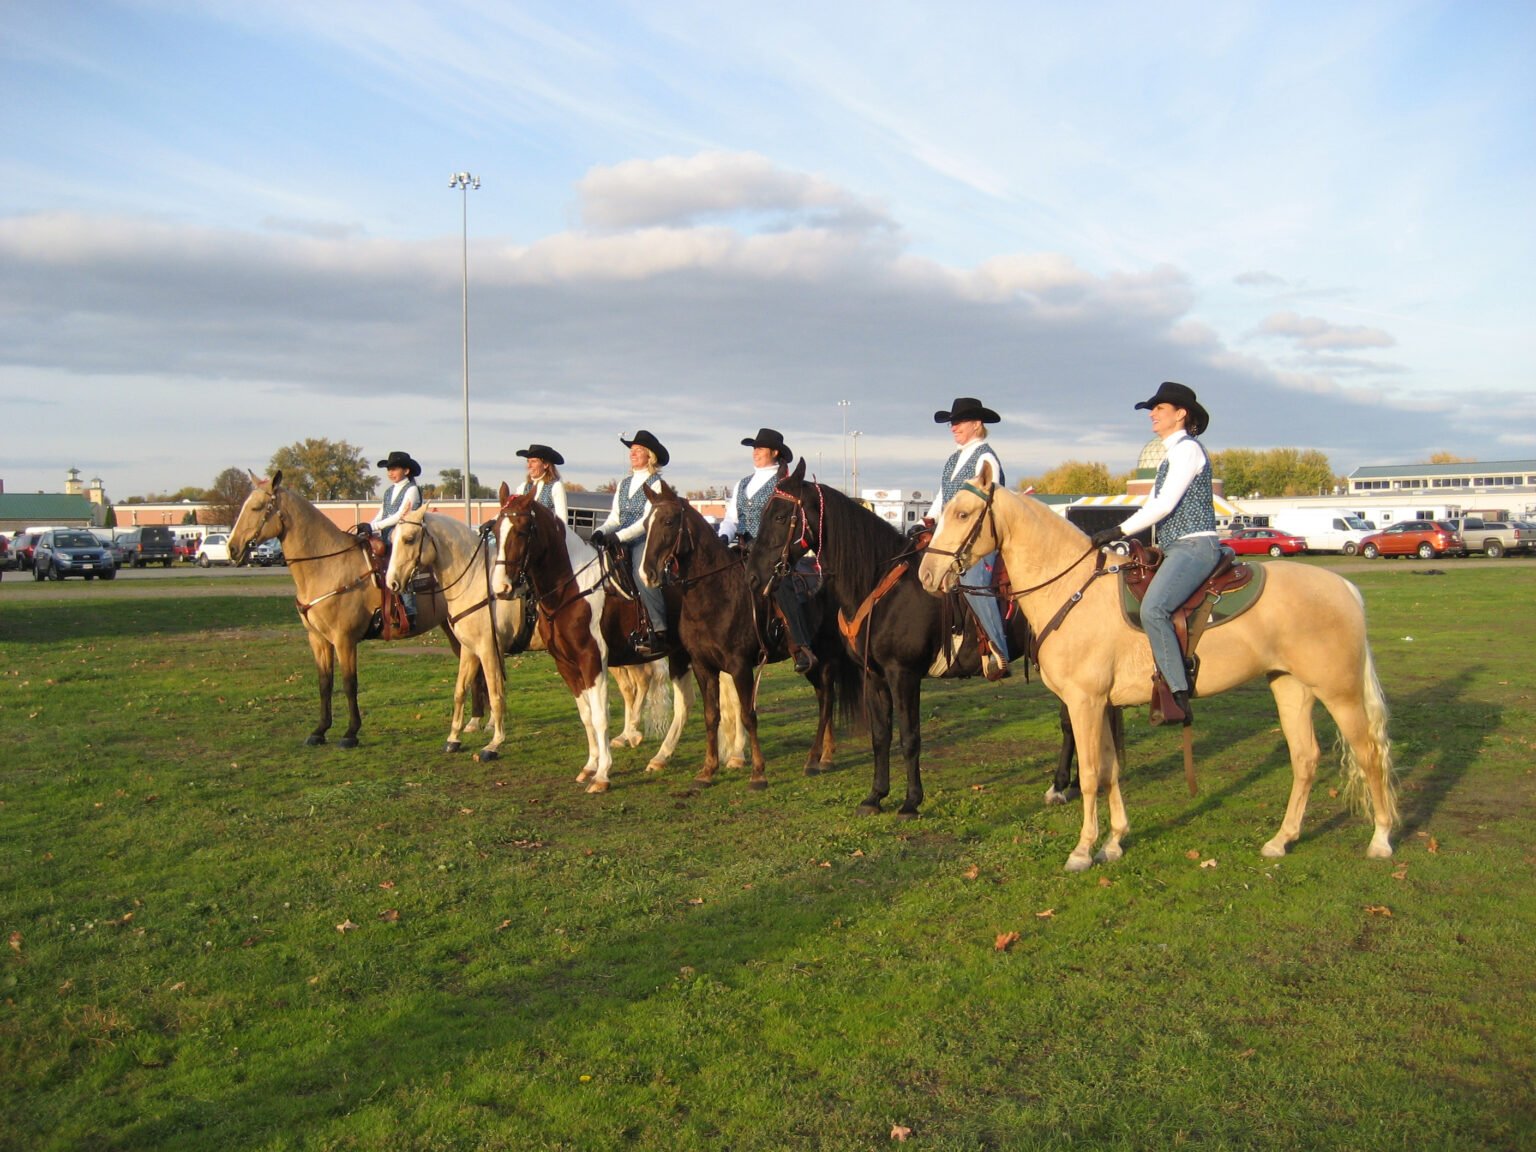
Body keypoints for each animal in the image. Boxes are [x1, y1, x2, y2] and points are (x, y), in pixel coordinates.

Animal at [228, 471, 460, 748]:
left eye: (256, 507)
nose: (231, 548)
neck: (329, 566)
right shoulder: (318, 639)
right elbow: (325, 683)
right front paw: (319, 730)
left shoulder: (344, 639)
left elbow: (350, 684)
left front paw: (351, 733)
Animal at [492, 485, 702, 793]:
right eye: (496, 529)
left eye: (520, 531)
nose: (502, 588)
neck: (572, 589)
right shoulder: (566, 665)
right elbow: (586, 715)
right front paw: (590, 765)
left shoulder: (592, 660)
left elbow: (601, 716)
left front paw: (603, 774)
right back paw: (661, 757)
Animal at [640, 481, 863, 786]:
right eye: (646, 523)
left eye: (669, 521)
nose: (647, 574)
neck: (714, 595)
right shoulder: (702, 666)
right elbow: (711, 716)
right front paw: (707, 771)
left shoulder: (739, 666)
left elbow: (748, 715)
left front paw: (757, 772)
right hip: (812, 662)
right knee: (823, 698)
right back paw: (826, 756)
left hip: (827, 656)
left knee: (827, 699)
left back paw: (814, 759)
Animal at [742, 458, 1044, 818]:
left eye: (779, 516)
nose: (753, 576)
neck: (880, 584)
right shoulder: (874, 676)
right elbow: (880, 737)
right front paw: (875, 796)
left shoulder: (904, 674)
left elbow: (909, 737)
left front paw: (911, 802)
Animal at [917, 468, 1398, 872]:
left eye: (963, 513)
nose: (926, 574)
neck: (1071, 591)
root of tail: (1345, 587)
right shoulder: (1101, 704)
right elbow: (1110, 771)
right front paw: (1114, 842)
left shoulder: (1085, 702)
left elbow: (1089, 776)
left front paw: (1082, 850)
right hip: (1290, 687)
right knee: (1305, 757)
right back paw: (1282, 839)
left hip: (1339, 692)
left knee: (1368, 754)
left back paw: (1381, 839)